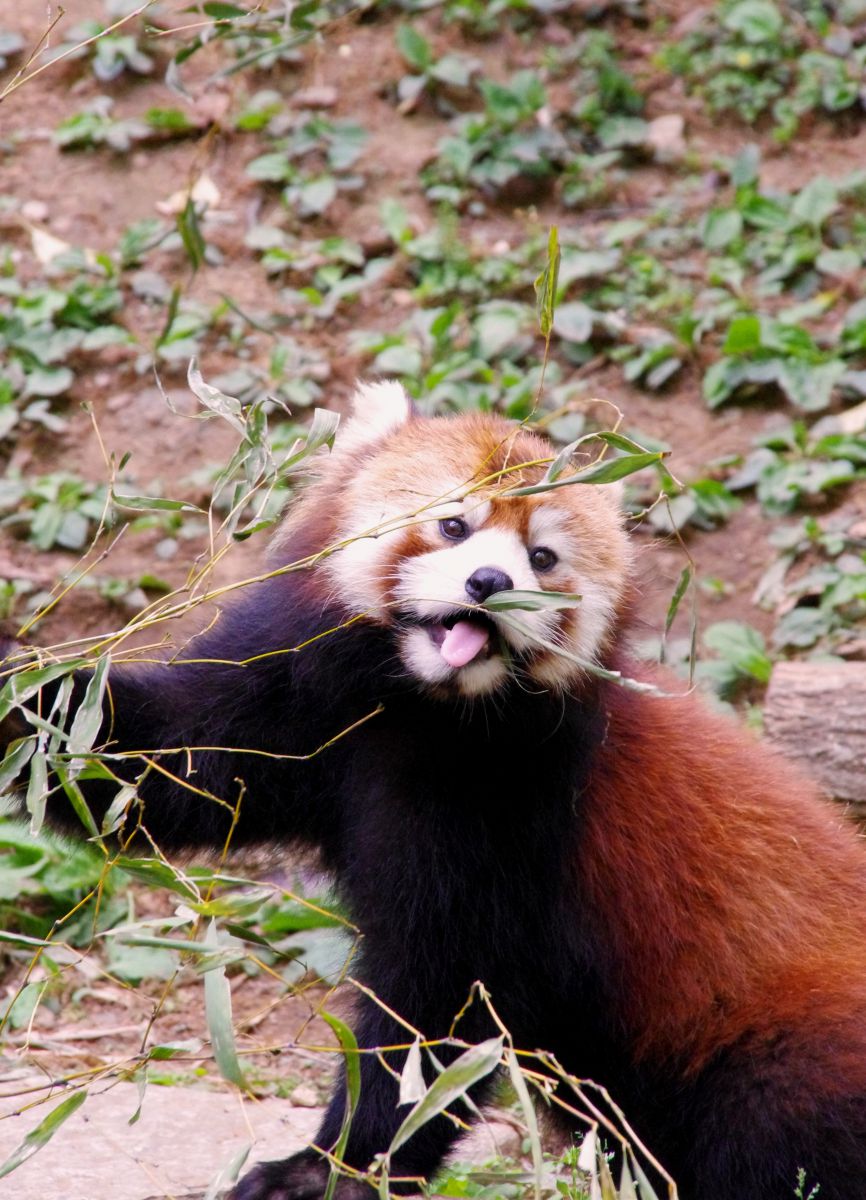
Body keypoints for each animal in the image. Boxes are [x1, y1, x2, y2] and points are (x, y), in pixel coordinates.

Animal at [5, 381, 866, 1200]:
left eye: (542, 557)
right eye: (454, 526)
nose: (490, 581)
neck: (421, 705)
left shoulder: (509, 810)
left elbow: (436, 1007)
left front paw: (335, 1171)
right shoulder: (299, 709)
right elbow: (156, 768)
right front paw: (26, 699)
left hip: (786, 1055)